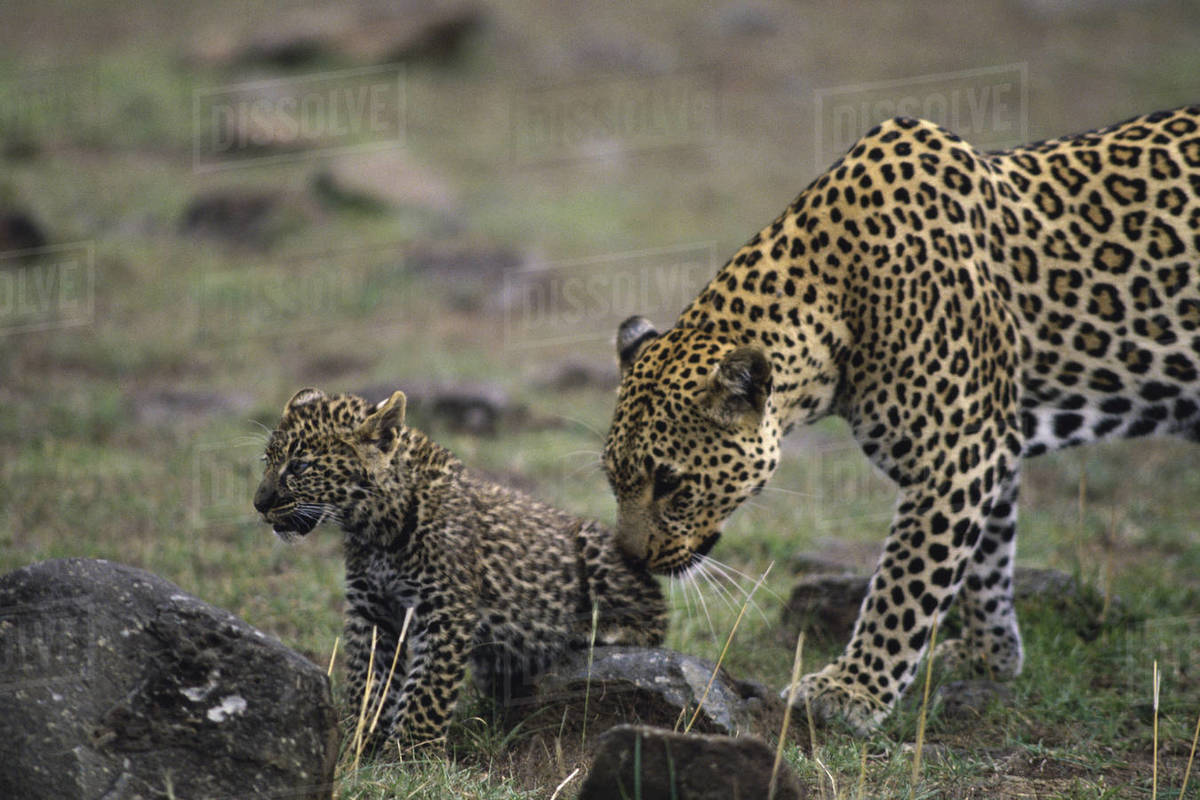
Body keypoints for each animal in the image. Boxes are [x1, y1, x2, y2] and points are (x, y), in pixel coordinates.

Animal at [254, 388, 666, 747]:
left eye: (300, 465)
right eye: (267, 460)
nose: (259, 503)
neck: (374, 529)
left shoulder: (444, 611)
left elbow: (425, 692)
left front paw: (409, 756)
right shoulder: (371, 612)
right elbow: (368, 679)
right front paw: (361, 740)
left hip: (595, 545)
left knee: (655, 619)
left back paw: (595, 630)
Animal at [602, 105, 1200, 734]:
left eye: (671, 484)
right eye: (614, 480)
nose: (632, 560)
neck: (834, 304)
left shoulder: (958, 452)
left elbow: (907, 581)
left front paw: (848, 690)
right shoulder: (990, 444)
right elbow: (985, 562)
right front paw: (992, 656)